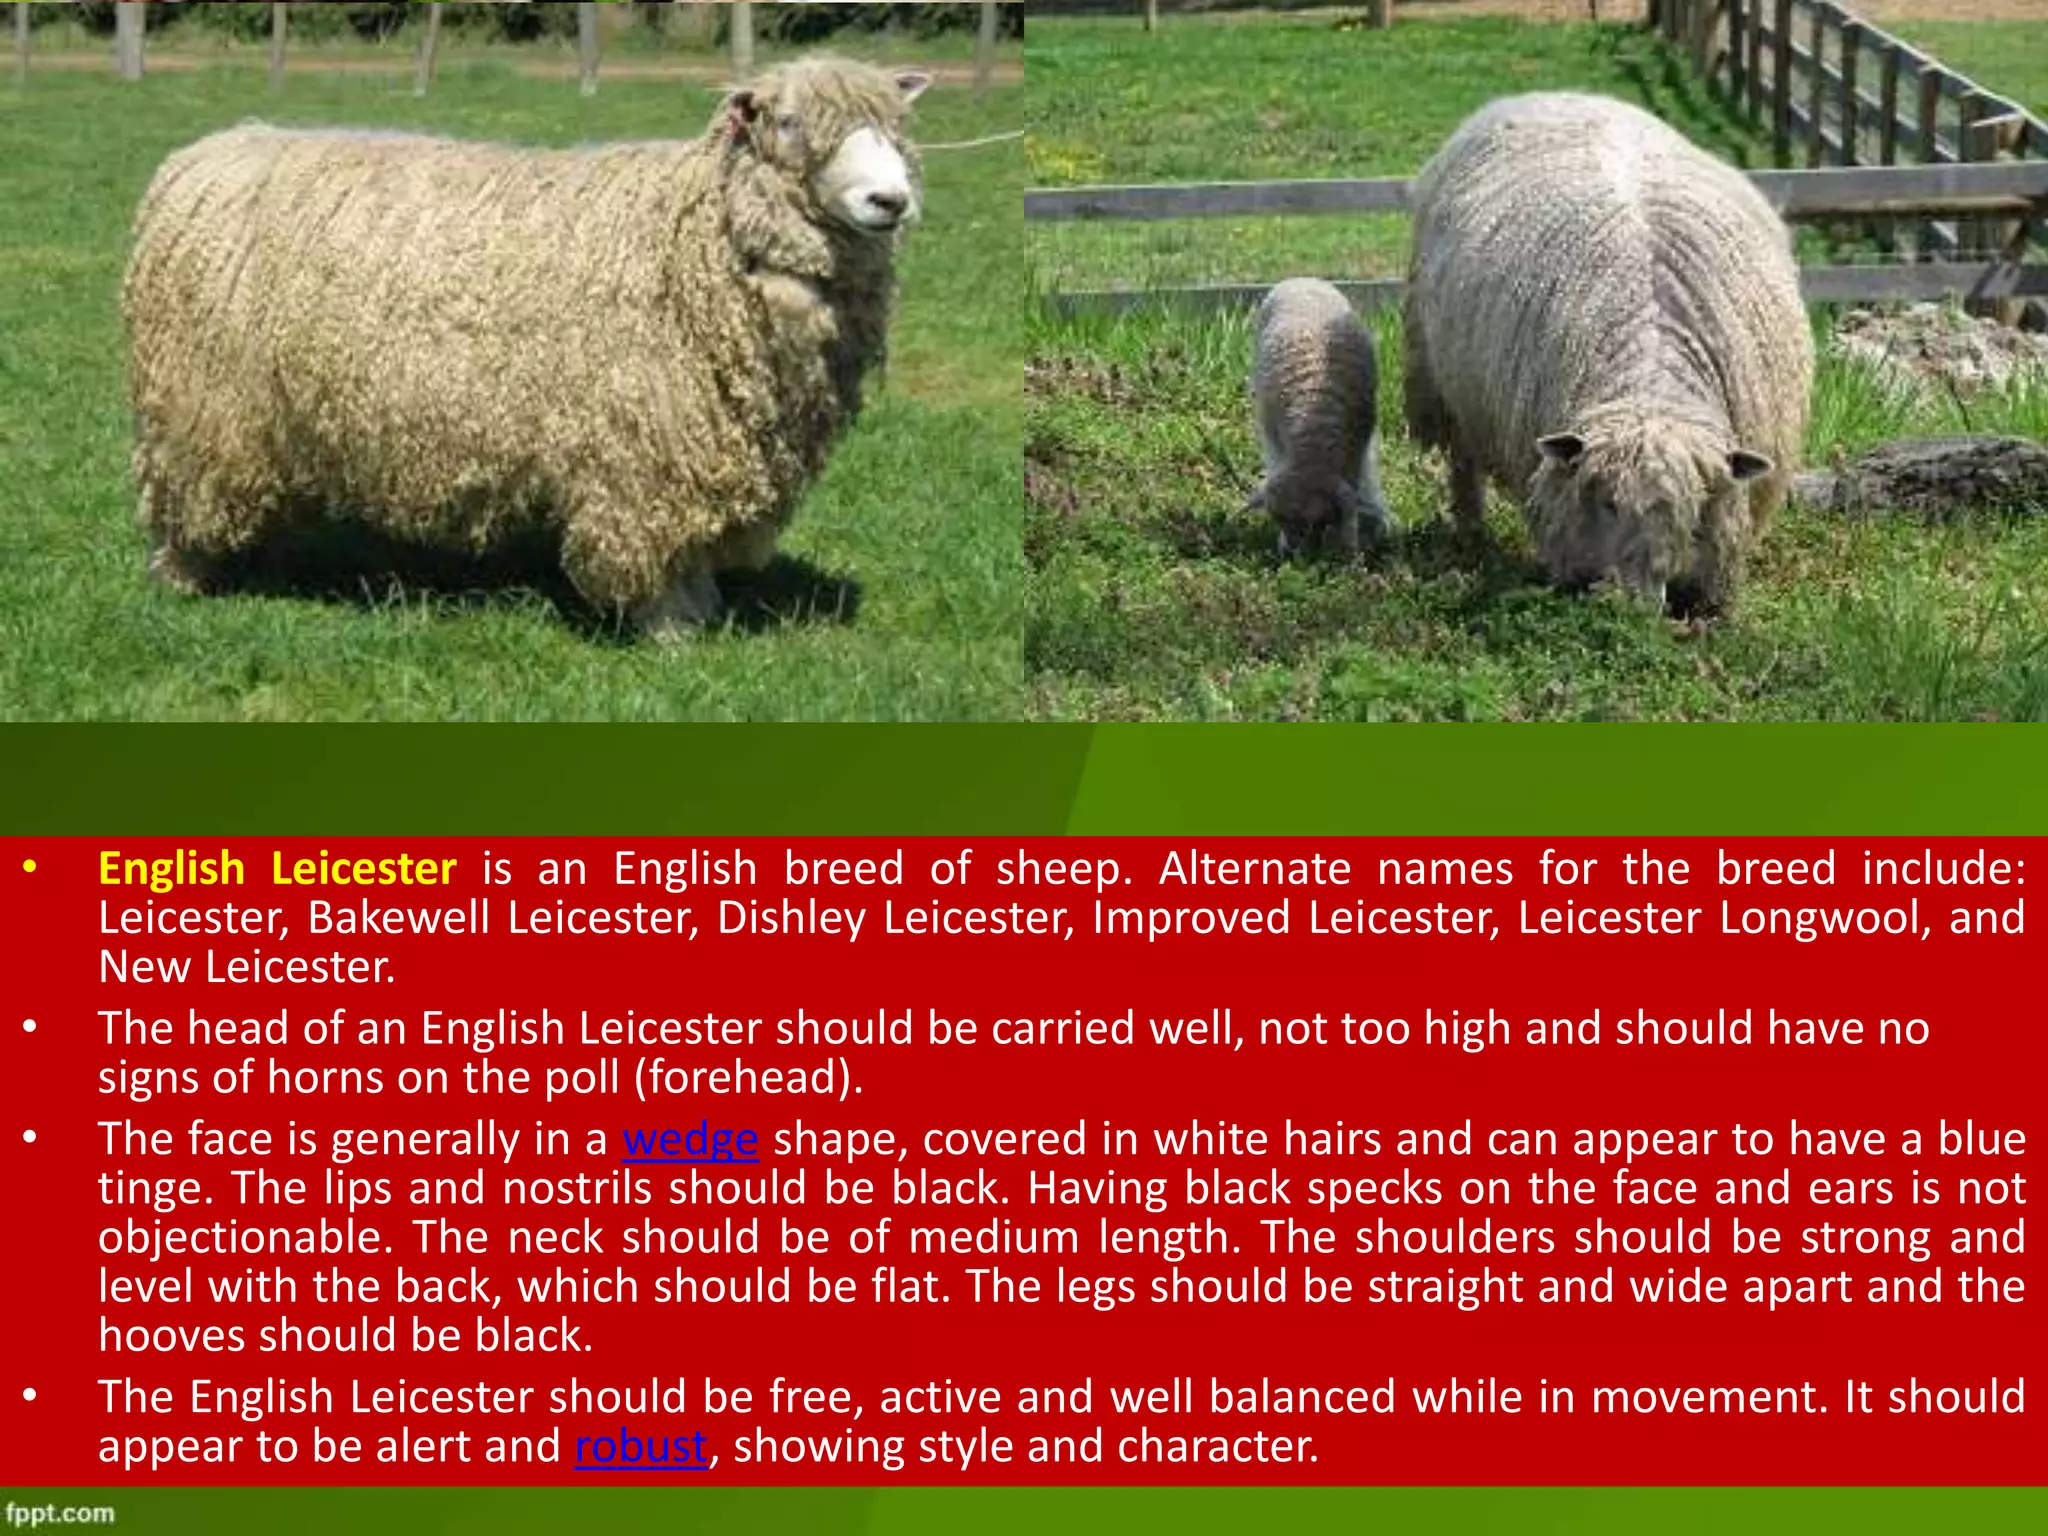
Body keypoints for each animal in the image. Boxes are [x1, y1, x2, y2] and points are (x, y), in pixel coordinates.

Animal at [122, 56, 932, 637]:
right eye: (789, 122)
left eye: (897, 130)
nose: (891, 201)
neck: (695, 237)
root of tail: (211, 153)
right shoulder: (644, 441)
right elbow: (653, 546)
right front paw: (671, 628)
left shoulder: (715, 440)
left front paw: (703, 607)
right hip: (203, 401)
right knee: (184, 494)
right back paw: (182, 577)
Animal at [1403, 92, 1813, 614]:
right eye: (1608, 502)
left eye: (1687, 508)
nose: (1633, 605)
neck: (1652, 372)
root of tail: (1560, 95)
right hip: (1439, 384)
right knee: (1462, 461)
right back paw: (1471, 531)